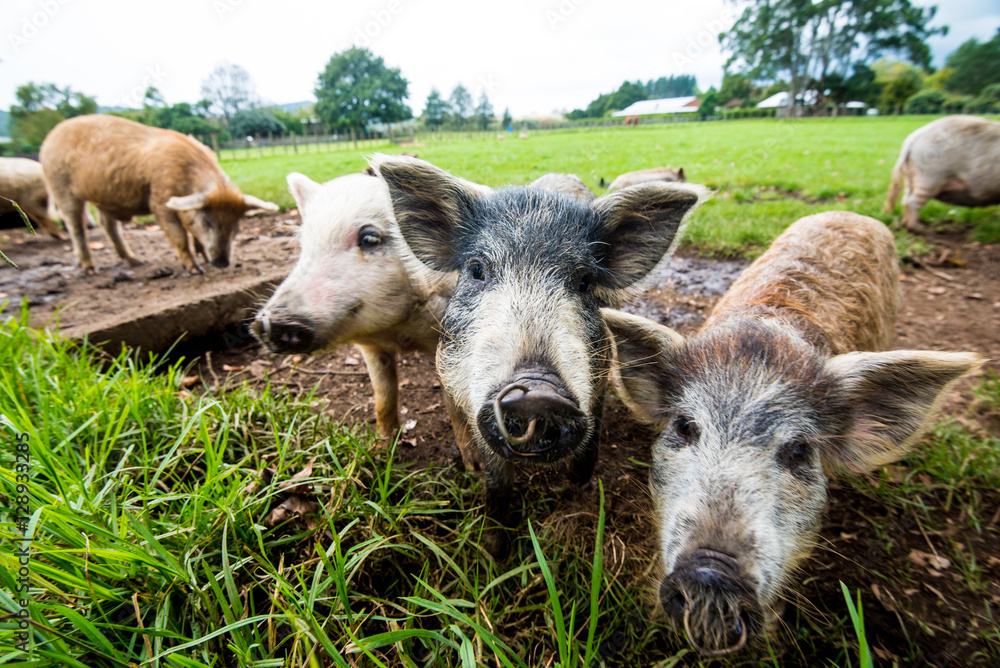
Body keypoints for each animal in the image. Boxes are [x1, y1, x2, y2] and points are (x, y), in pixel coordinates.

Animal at [39, 114, 278, 274]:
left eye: (236, 227)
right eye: (207, 222)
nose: (222, 263)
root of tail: (50, 135)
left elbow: (192, 234)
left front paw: (202, 258)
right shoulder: (159, 200)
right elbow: (179, 234)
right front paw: (195, 269)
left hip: (103, 195)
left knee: (108, 225)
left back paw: (135, 262)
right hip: (60, 184)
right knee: (75, 226)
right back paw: (90, 269)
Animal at [250, 167, 596, 470]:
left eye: (369, 238)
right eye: (303, 245)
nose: (268, 323)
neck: (399, 331)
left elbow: (454, 405)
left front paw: (471, 467)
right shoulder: (372, 350)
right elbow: (383, 397)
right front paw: (383, 453)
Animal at [372, 153, 707, 556]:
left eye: (585, 281)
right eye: (477, 270)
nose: (535, 392)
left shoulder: (599, 374)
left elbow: (589, 443)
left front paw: (576, 493)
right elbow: (496, 481)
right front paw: (496, 551)